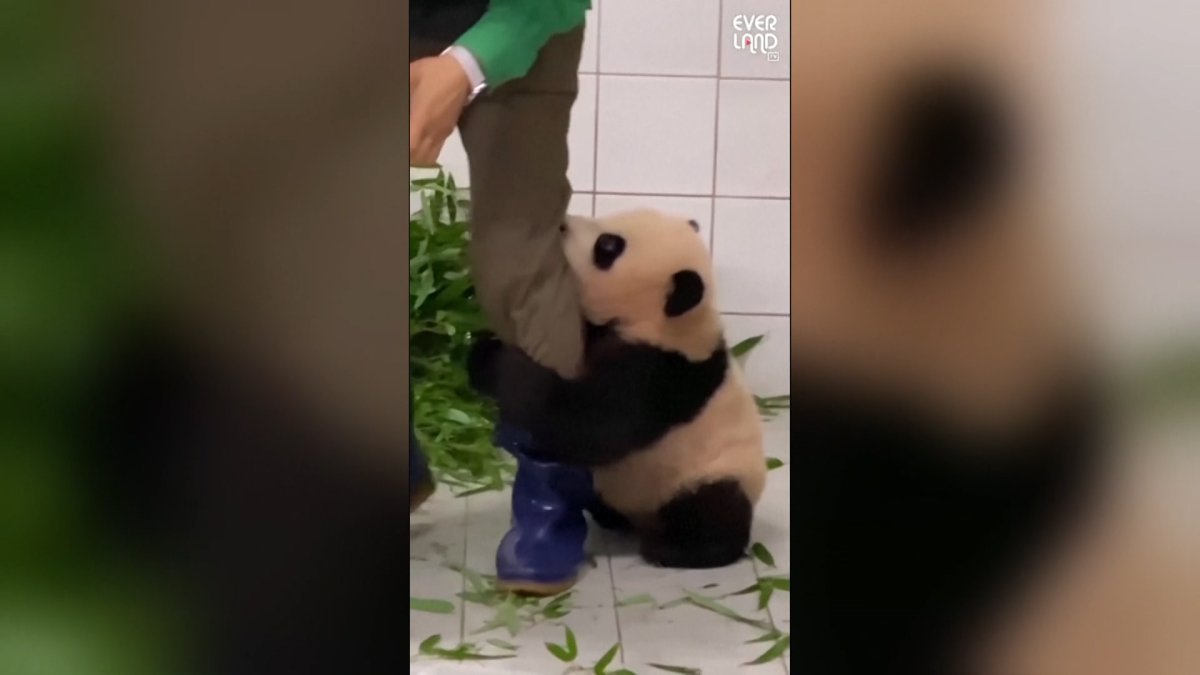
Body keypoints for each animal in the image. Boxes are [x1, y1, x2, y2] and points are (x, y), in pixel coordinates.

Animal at [468, 208, 767, 569]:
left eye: (608, 246)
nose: (561, 224)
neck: (672, 324)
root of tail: (643, 520)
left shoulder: (657, 374)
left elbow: (591, 424)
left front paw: (490, 358)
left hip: (709, 474)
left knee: (712, 509)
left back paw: (680, 551)